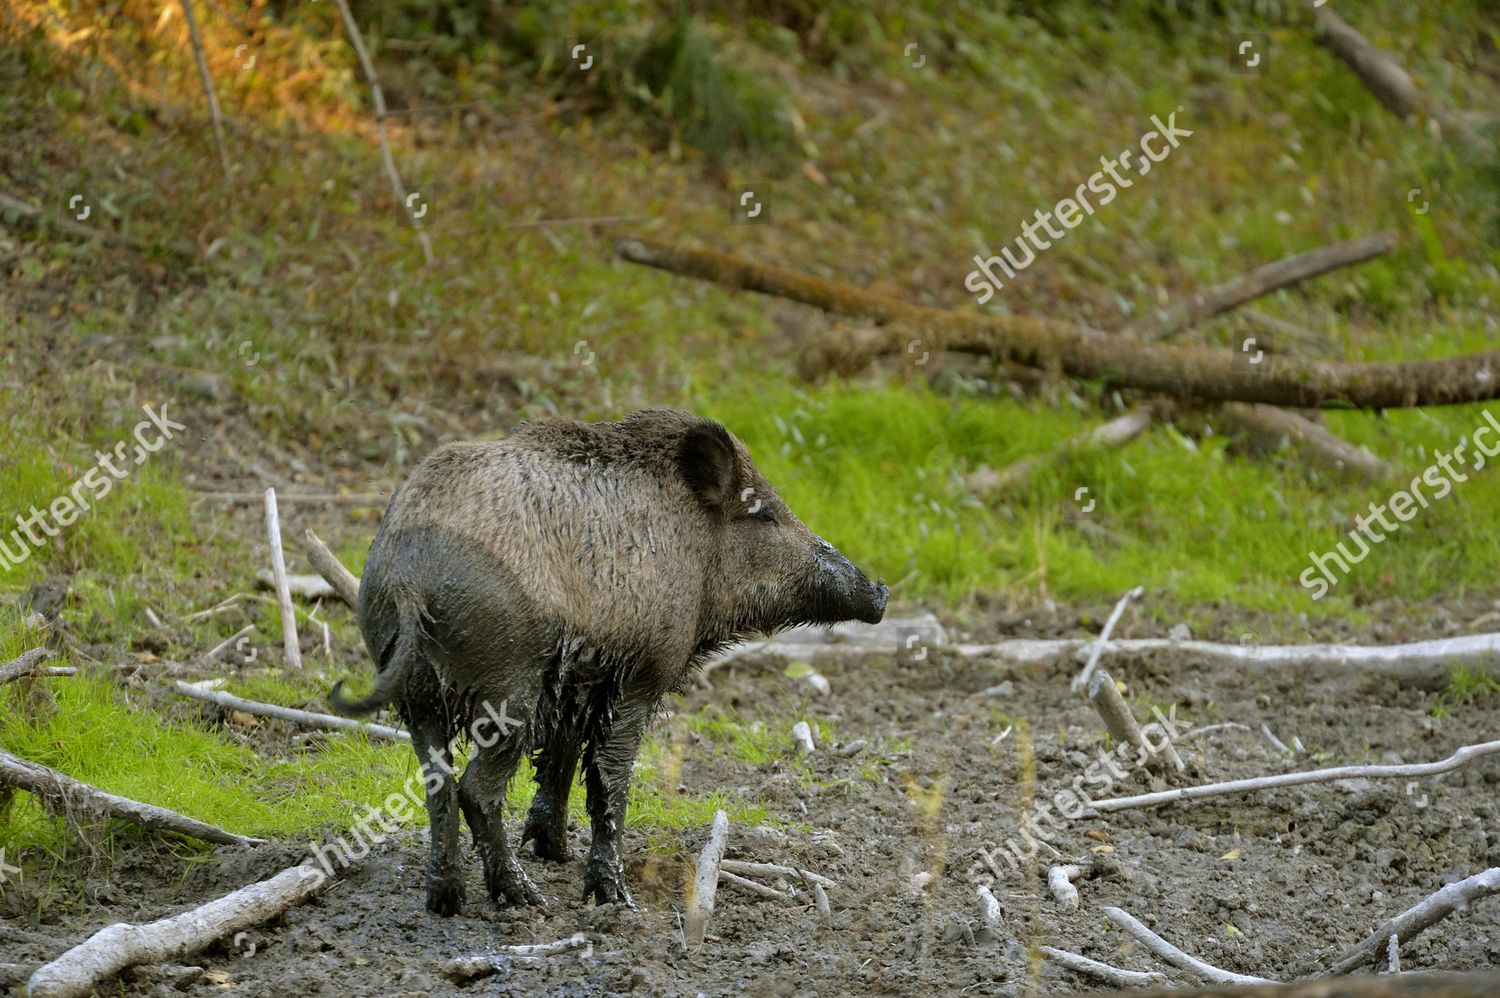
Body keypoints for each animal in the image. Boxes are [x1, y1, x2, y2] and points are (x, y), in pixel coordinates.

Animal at [329, 408, 887, 914]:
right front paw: (614, 899)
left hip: (416, 692)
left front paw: (553, 851)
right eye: (765, 513)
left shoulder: (575, 685)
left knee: (437, 786)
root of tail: (408, 577)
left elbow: (559, 761)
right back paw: (526, 900)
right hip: (508, 687)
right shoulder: (641, 673)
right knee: (474, 790)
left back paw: (447, 901)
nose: (879, 592)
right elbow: (609, 778)